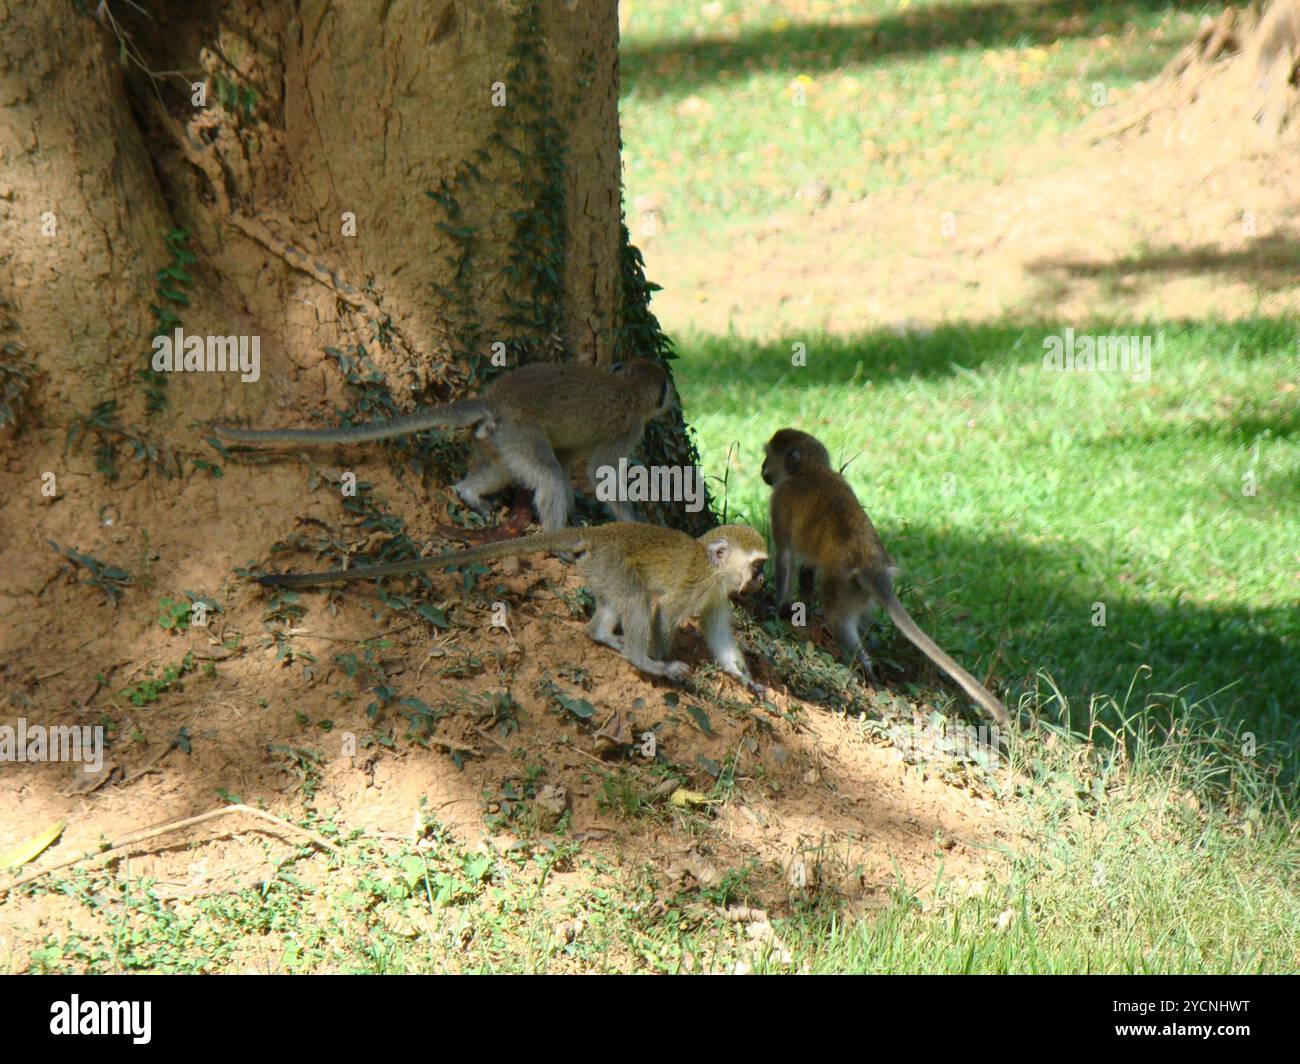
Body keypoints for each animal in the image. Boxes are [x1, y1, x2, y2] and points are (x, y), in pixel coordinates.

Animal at [212, 360, 673, 531]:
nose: (673, 400)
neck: (627, 385)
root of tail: (495, 400)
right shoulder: (628, 428)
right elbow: (600, 476)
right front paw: (635, 522)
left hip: (500, 437)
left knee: (505, 467)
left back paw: (469, 494)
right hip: (520, 430)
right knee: (548, 476)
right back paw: (554, 539)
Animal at [258, 522, 770, 693]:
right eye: (758, 566)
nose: (761, 583)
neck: (713, 567)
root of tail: (603, 531)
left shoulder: (717, 593)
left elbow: (718, 633)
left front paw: (745, 679)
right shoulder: (696, 583)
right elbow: (665, 614)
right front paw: (660, 663)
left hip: (601, 566)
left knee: (617, 599)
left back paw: (602, 636)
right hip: (613, 562)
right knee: (636, 598)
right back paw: (639, 658)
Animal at [761, 428, 1010, 726]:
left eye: (768, 456)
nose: (762, 469)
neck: (811, 468)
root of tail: (872, 566)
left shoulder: (780, 499)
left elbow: (784, 556)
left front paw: (778, 609)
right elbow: (807, 565)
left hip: (842, 584)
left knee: (838, 620)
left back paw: (863, 669)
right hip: (859, 592)